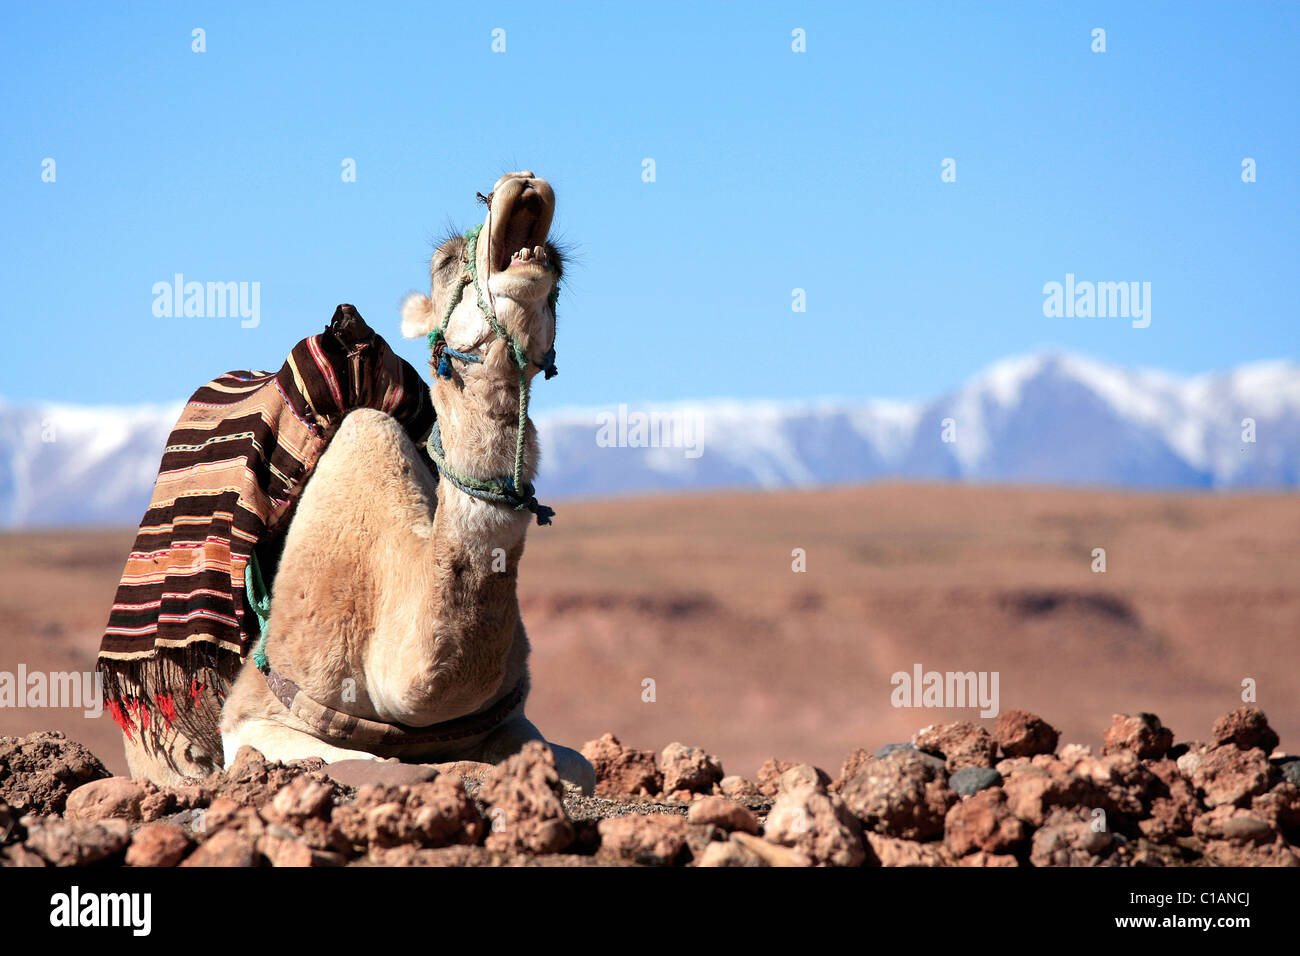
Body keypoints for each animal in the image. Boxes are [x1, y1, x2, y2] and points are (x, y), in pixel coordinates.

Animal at [212, 171, 595, 792]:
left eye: (558, 264)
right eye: (443, 260)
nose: (523, 182)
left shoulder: (512, 721)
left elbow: (576, 766)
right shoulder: (253, 714)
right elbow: (361, 763)